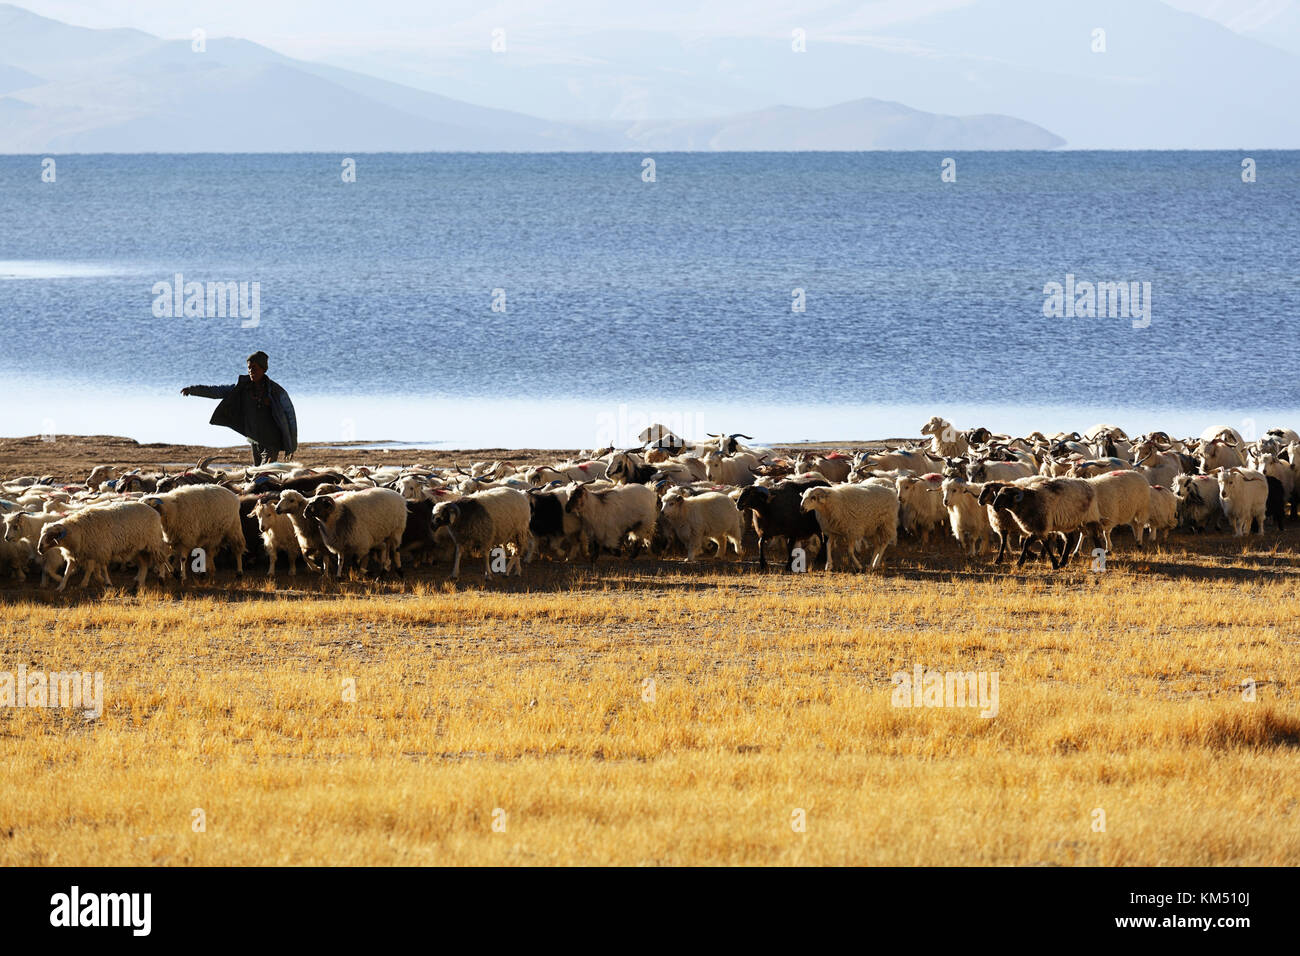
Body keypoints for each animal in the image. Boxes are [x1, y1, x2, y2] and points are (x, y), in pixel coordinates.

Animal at [36, 501, 171, 592]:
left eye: (50, 536)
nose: (39, 549)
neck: (78, 530)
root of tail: (154, 511)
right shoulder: (79, 554)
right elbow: (68, 572)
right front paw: (62, 586)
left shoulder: (101, 550)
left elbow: (102, 568)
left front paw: (106, 582)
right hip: (138, 549)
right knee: (144, 565)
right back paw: (140, 583)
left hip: (153, 543)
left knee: (161, 559)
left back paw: (161, 578)